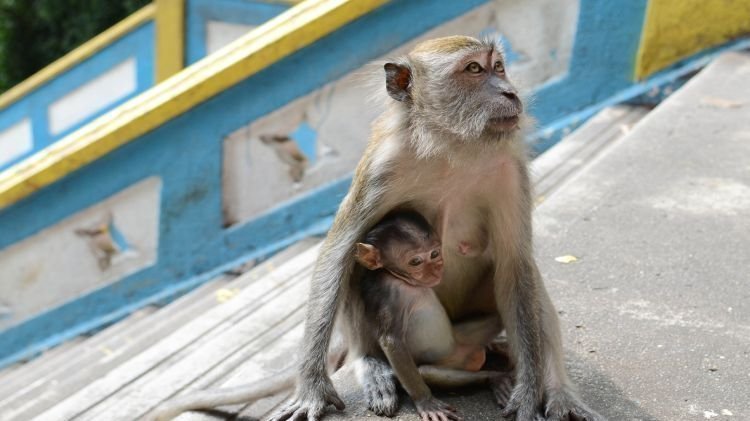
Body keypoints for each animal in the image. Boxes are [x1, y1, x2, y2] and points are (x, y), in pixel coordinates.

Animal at [266, 36, 605, 421]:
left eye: (499, 67)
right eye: (473, 69)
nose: (509, 91)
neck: (451, 146)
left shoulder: (510, 168)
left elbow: (515, 265)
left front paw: (529, 392)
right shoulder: (382, 166)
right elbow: (338, 253)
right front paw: (312, 387)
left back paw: (553, 389)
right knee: (356, 263)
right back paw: (371, 364)